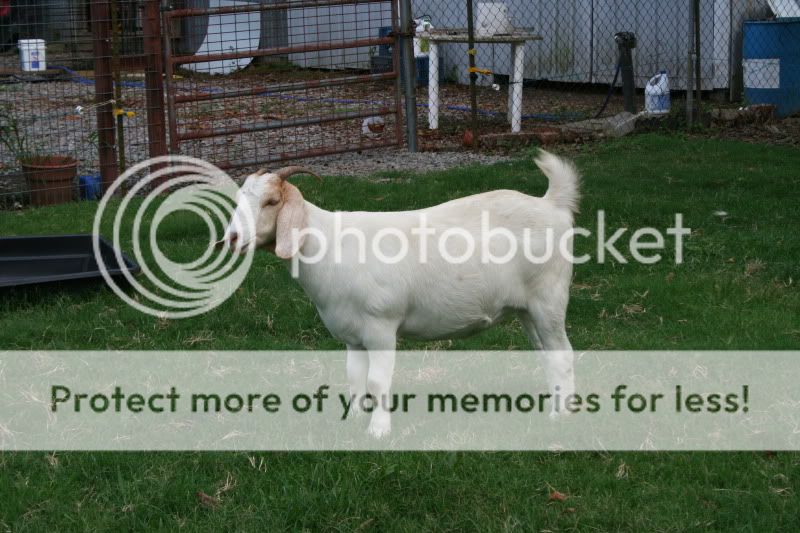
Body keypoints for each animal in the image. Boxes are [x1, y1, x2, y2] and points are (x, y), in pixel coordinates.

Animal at [221, 151, 579, 437]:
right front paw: (353, 418)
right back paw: (552, 404)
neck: (331, 245)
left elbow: (377, 382)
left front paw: (378, 431)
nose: (232, 238)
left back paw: (561, 416)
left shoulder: (381, 326)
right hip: (526, 309)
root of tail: (551, 204)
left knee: (563, 354)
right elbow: (354, 378)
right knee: (547, 354)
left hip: (549, 299)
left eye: (271, 202)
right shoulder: (351, 334)